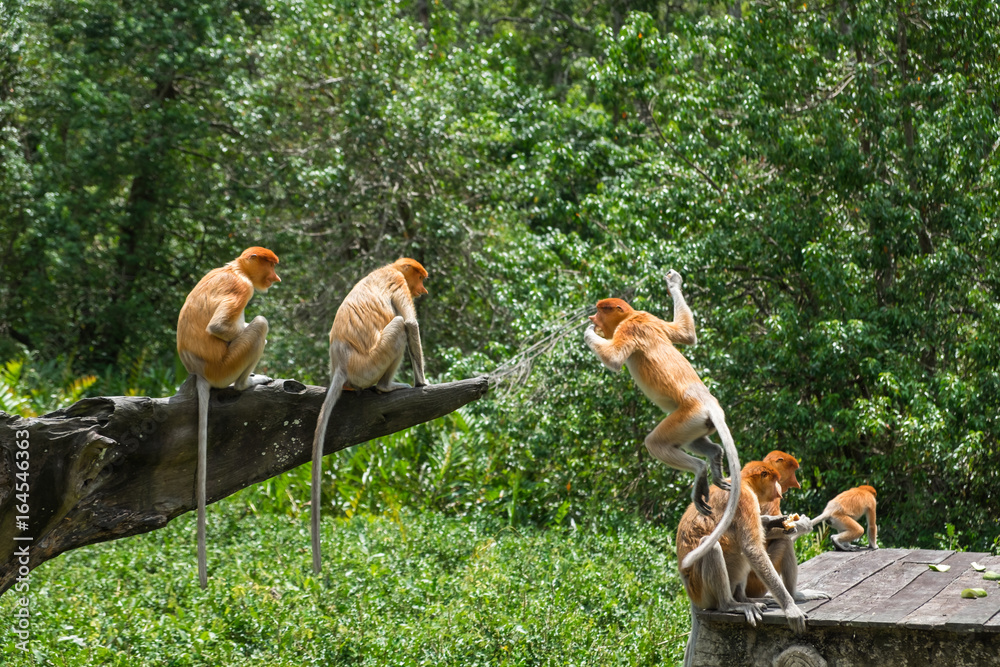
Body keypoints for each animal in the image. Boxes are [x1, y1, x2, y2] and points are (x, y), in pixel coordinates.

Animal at [176, 246, 281, 588]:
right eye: (271, 266)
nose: (276, 278)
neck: (235, 269)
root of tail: (201, 373)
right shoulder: (242, 288)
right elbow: (219, 328)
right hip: (226, 366)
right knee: (259, 324)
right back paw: (248, 383)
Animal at [311, 258, 428, 574]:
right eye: (420, 278)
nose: (423, 291)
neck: (391, 267)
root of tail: (341, 365)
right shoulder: (398, 283)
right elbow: (410, 323)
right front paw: (423, 382)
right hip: (370, 364)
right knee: (399, 326)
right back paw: (387, 387)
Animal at [585, 270, 741, 569]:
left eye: (600, 310)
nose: (591, 319)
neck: (632, 315)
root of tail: (707, 401)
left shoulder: (629, 330)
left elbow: (614, 359)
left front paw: (586, 332)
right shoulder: (650, 317)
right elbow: (685, 334)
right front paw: (673, 282)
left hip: (687, 416)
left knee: (655, 443)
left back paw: (700, 473)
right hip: (696, 423)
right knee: (698, 444)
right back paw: (715, 460)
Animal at [677, 460, 808, 638]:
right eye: (775, 480)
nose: (779, 490)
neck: (744, 482)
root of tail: (691, 595)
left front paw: (774, 521)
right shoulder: (745, 499)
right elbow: (752, 548)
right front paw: (791, 608)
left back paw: (746, 599)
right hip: (702, 591)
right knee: (712, 546)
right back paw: (730, 605)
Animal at [744, 451, 829, 601]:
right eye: (793, 470)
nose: (797, 483)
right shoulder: (773, 498)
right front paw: (803, 524)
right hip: (757, 582)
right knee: (785, 542)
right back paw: (795, 595)